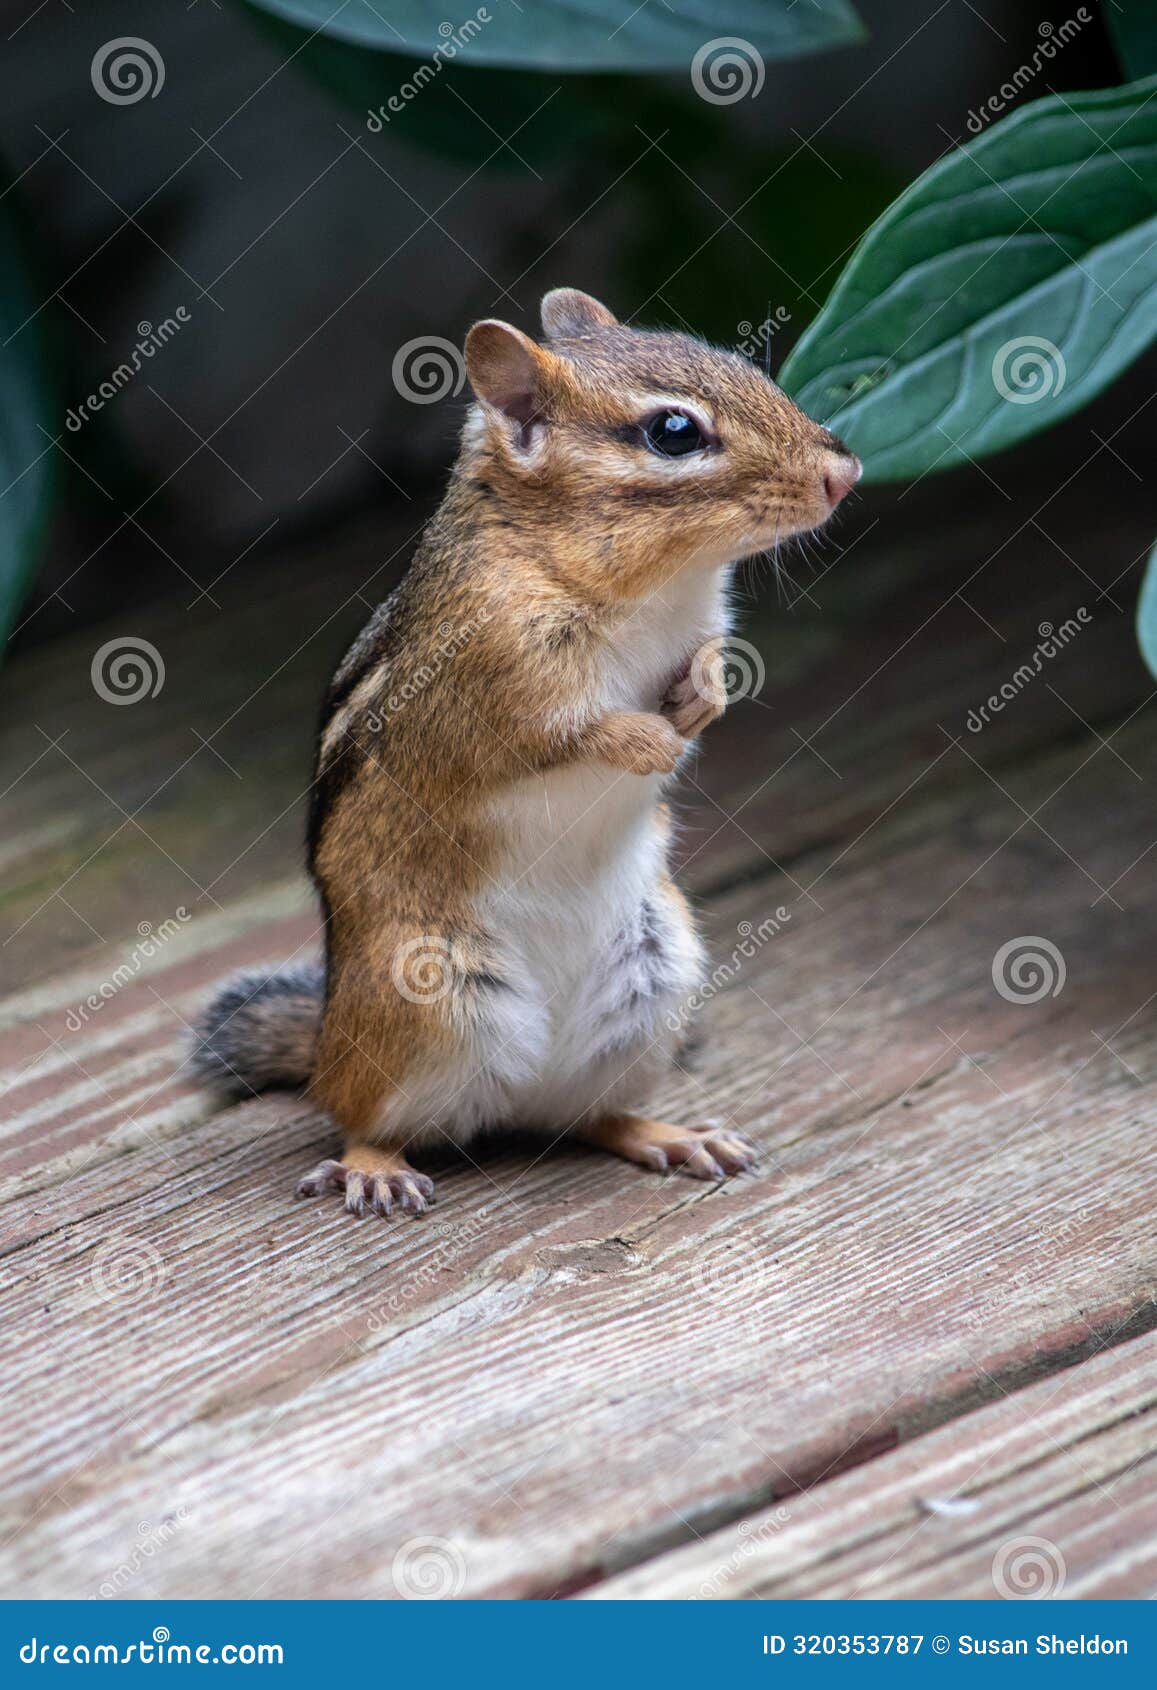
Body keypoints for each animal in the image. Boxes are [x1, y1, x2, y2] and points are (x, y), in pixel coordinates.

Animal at [192, 288, 860, 1219]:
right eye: (673, 432)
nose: (844, 474)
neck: (652, 588)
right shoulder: (484, 688)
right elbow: (555, 736)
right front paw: (647, 740)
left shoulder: (702, 629)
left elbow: (710, 669)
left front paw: (699, 702)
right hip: (416, 1000)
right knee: (354, 1111)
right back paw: (372, 1165)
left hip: (654, 984)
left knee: (589, 1119)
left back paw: (667, 1134)